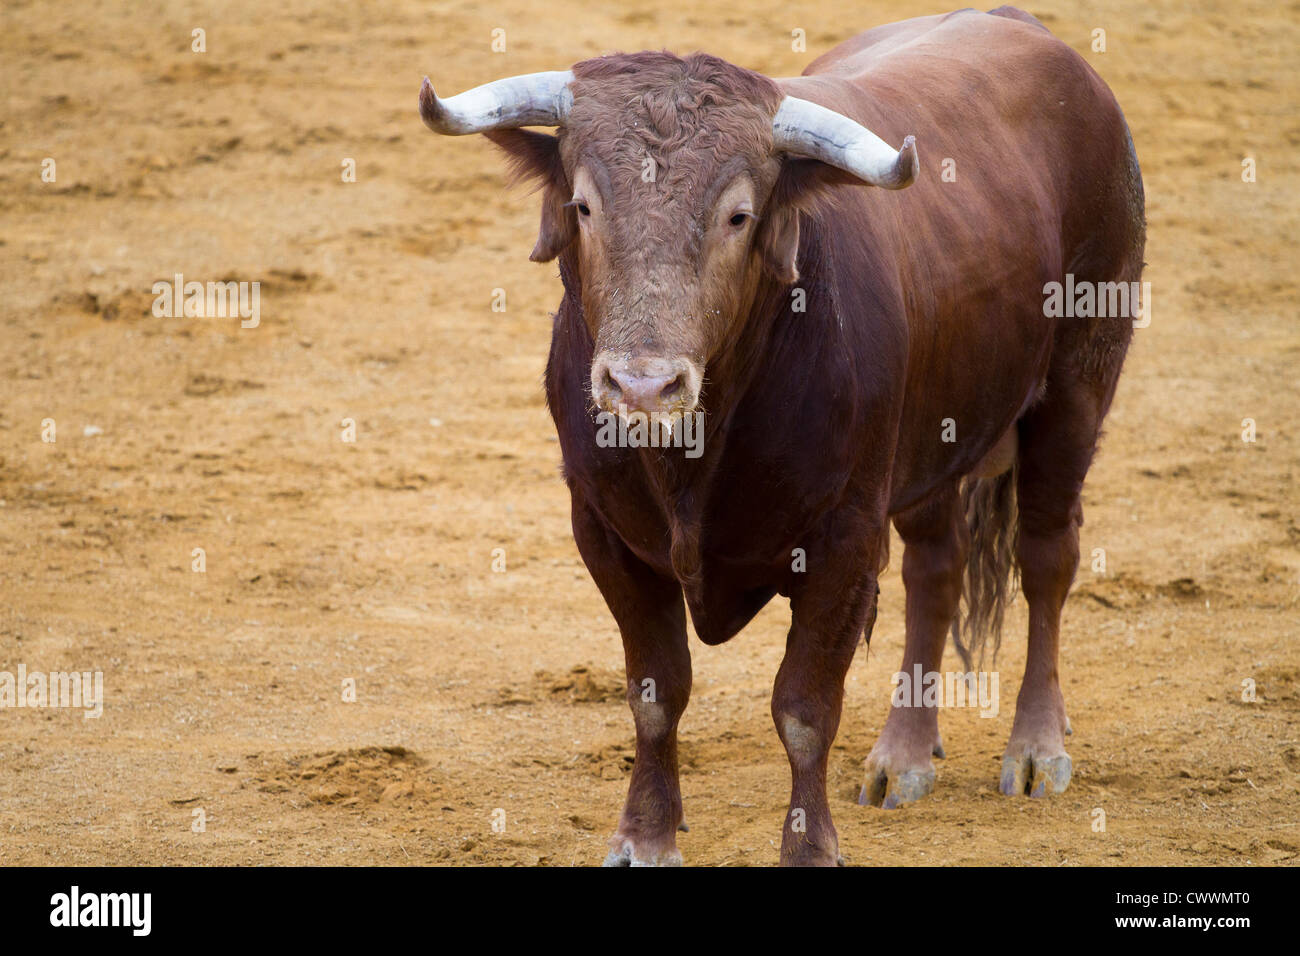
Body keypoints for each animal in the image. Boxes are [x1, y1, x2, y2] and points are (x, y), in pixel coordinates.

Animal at [418, 5, 1145, 866]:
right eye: (586, 207)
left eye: (739, 216)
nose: (642, 387)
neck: (692, 457)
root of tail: (1024, 29)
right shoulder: (603, 532)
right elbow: (656, 693)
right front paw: (645, 835)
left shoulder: (843, 543)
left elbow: (804, 708)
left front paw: (809, 848)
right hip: (931, 447)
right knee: (936, 570)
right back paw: (903, 755)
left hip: (1078, 385)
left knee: (1047, 557)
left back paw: (1035, 748)